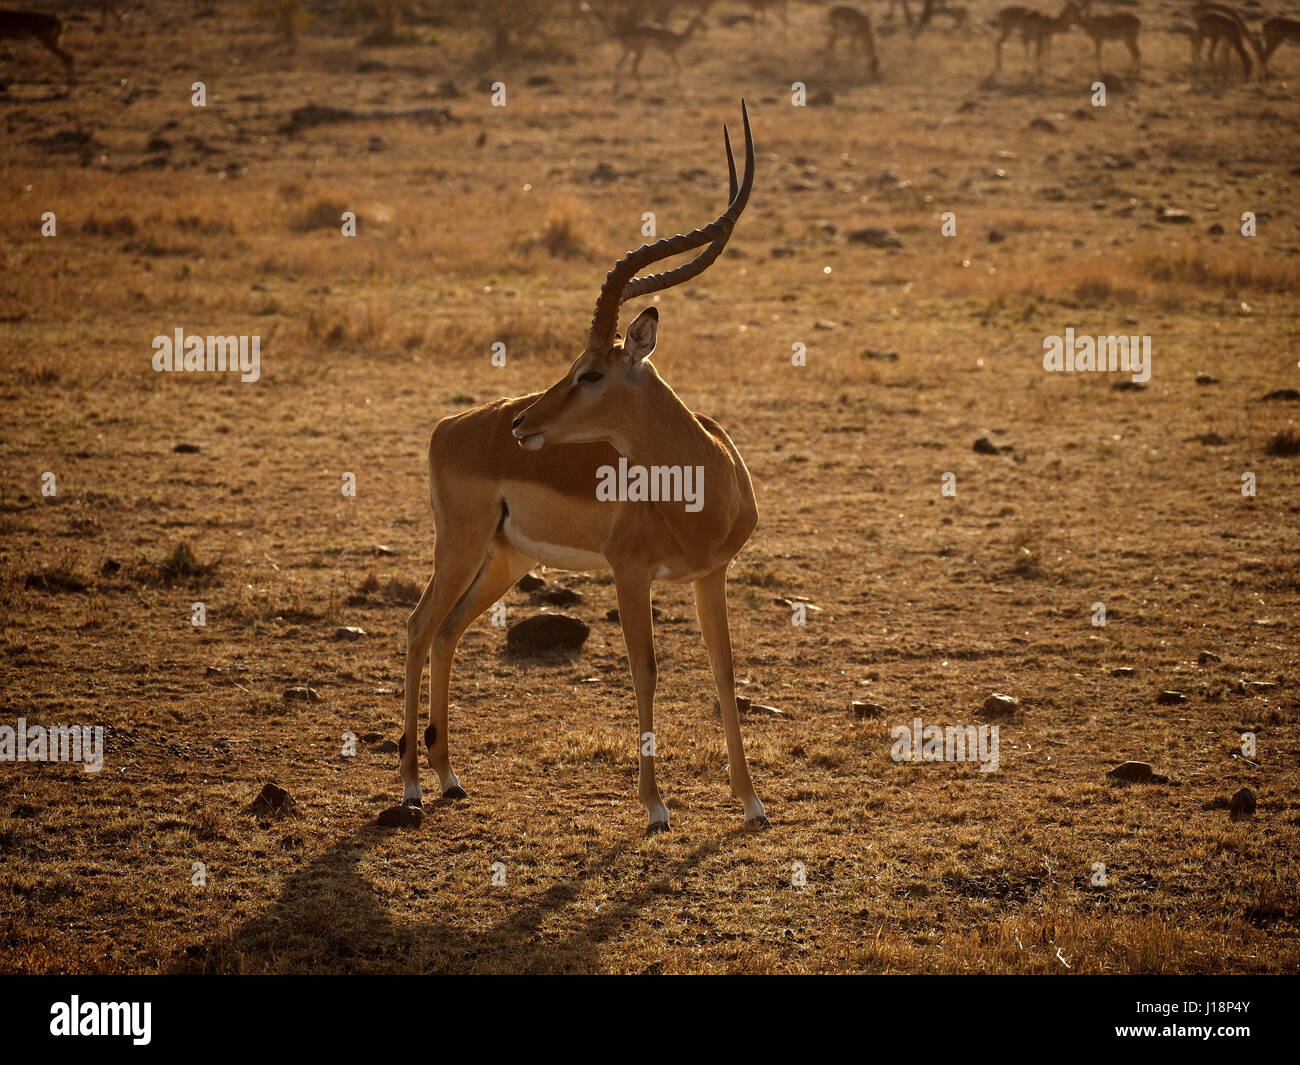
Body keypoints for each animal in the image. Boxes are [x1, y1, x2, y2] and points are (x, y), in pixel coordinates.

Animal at [387, 104, 769, 836]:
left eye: (590, 372)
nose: (522, 424)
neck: (699, 485)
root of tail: (450, 426)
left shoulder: (711, 573)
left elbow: (725, 671)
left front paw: (753, 803)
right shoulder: (630, 572)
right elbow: (645, 670)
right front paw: (655, 807)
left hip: (506, 559)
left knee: (447, 631)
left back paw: (450, 778)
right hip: (461, 545)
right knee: (420, 627)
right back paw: (414, 788)